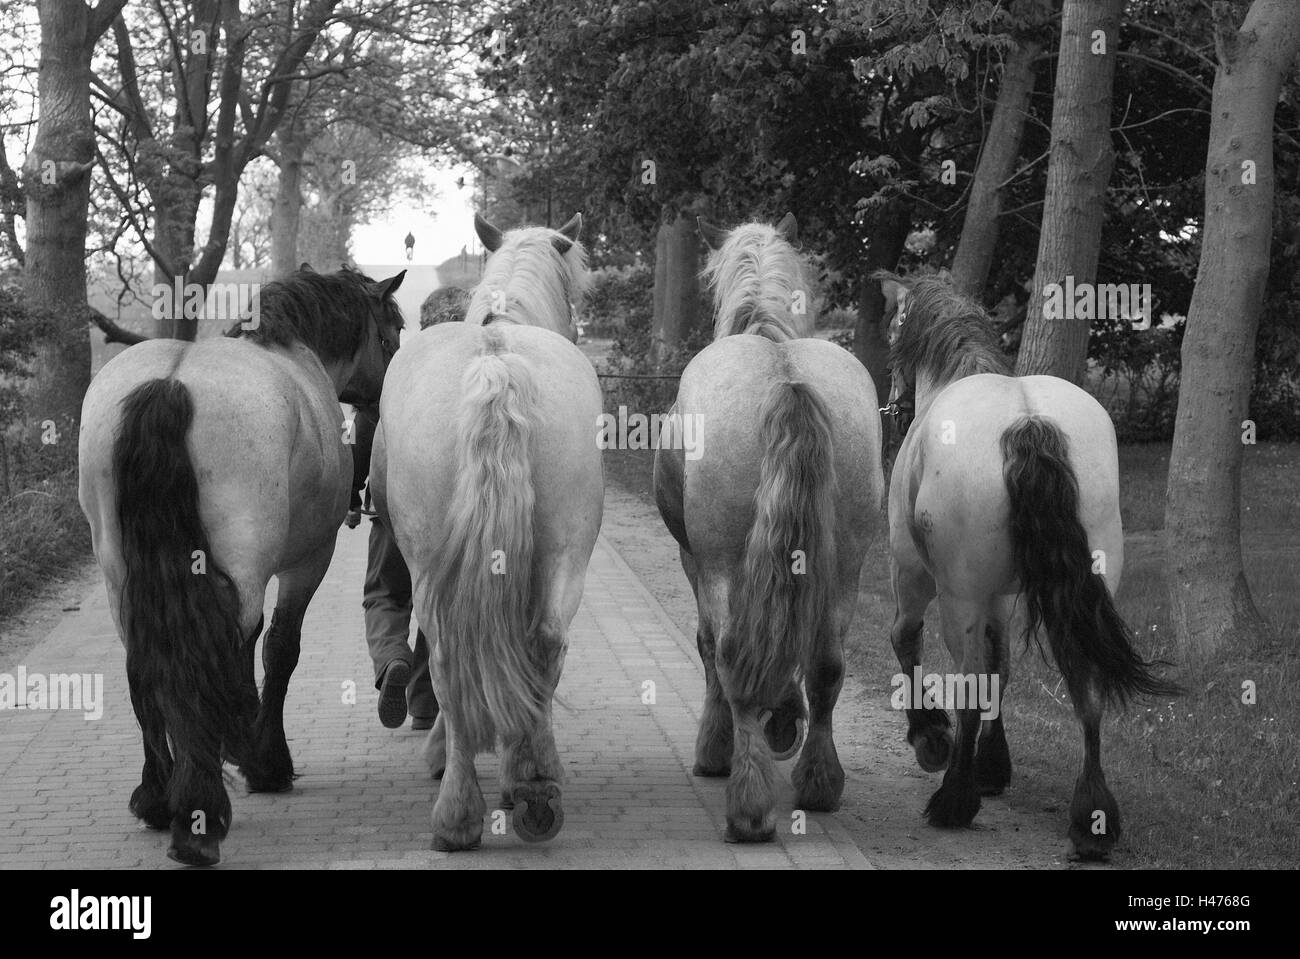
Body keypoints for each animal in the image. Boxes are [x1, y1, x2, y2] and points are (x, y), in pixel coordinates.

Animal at [78, 265, 405, 865]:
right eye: (393, 330)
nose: (383, 400)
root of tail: (172, 384)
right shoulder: (307, 562)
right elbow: (277, 650)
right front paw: (264, 759)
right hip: (242, 566)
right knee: (215, 652)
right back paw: (199, 820)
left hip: (120, 574)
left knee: (145, 664)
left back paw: (159, 798)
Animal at [370, 212, 603, 851]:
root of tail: (496, 359)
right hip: (566, 552)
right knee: (545, 642)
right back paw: (535, 788)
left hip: (431, 563)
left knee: (449, 656)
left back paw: (461, 810)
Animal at [653, 214, 884, 842]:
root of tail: (787, 378)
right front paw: (783, 717)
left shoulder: (693, 559)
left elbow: (710, 645)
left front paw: (722, 745)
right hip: (848, 561)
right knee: (827, 663)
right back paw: (820, 783)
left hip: (720, 561)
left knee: (731, 655)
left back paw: (749, 804)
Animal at [877, 271, 1179, 859]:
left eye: (893, 333)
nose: (894, 407)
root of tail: (1028, 421)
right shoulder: (1000, 596)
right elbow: (1003, 666)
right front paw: (994, 765)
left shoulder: (914, 573)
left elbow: (910, 641)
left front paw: (932, 737)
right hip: (1087, 587)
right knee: (1087, 688)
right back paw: (1091, 820)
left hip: (958, 594)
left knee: (968, 679)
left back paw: (954, 799)